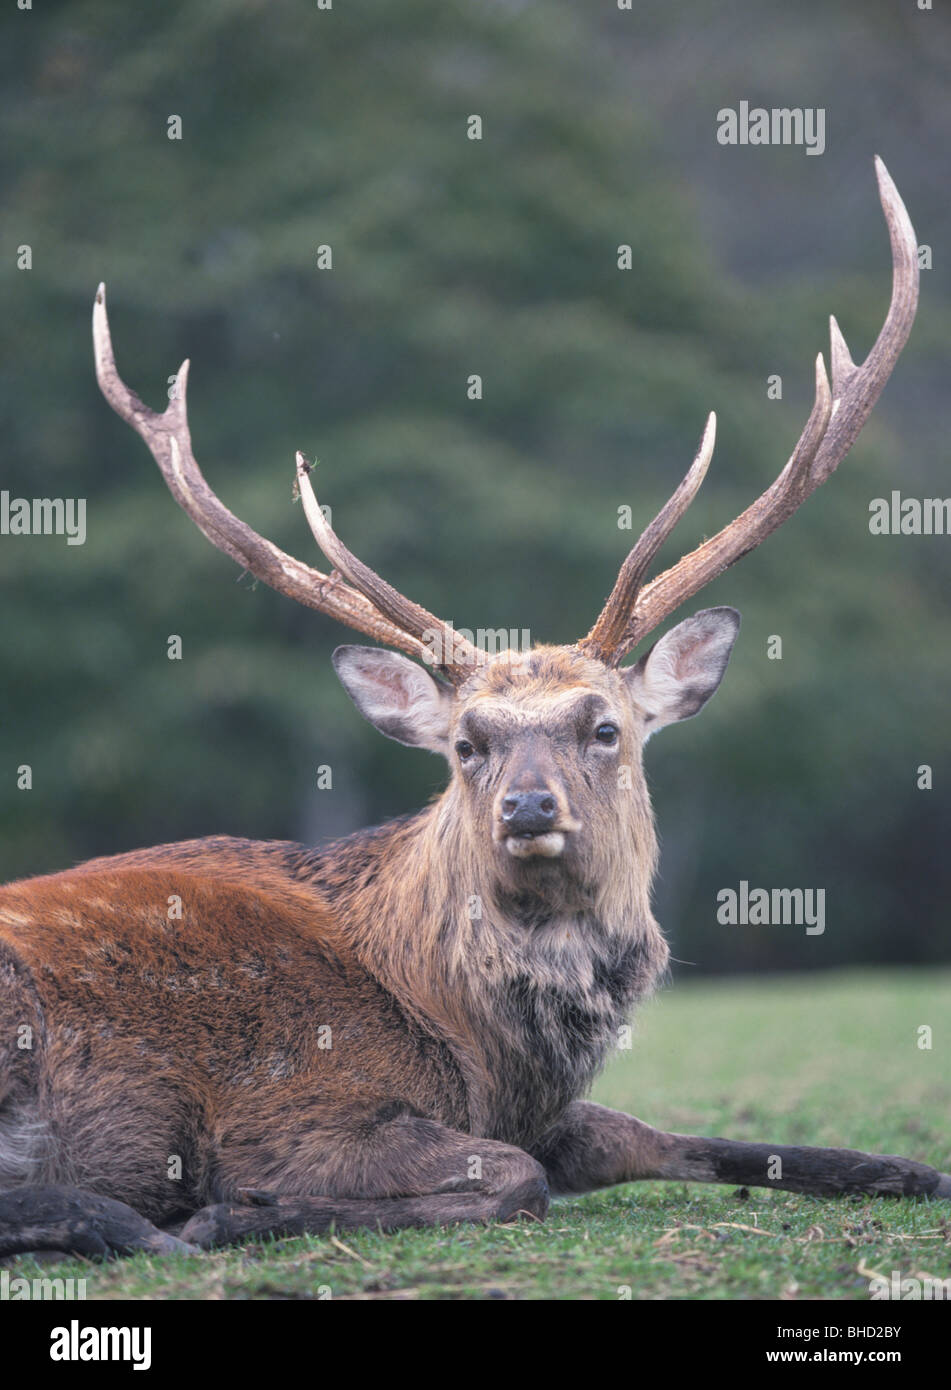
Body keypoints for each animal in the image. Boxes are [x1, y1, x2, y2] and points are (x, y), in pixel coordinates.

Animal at [1, 158, 948, 1261]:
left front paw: (911, 1170)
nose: (529, 807)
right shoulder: (290, 1109)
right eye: (464, 744)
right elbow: (514, 1177)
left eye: (605, 726)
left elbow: (697, 1141)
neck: (484, 1052)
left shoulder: (553, 1112)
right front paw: (233, 1209)